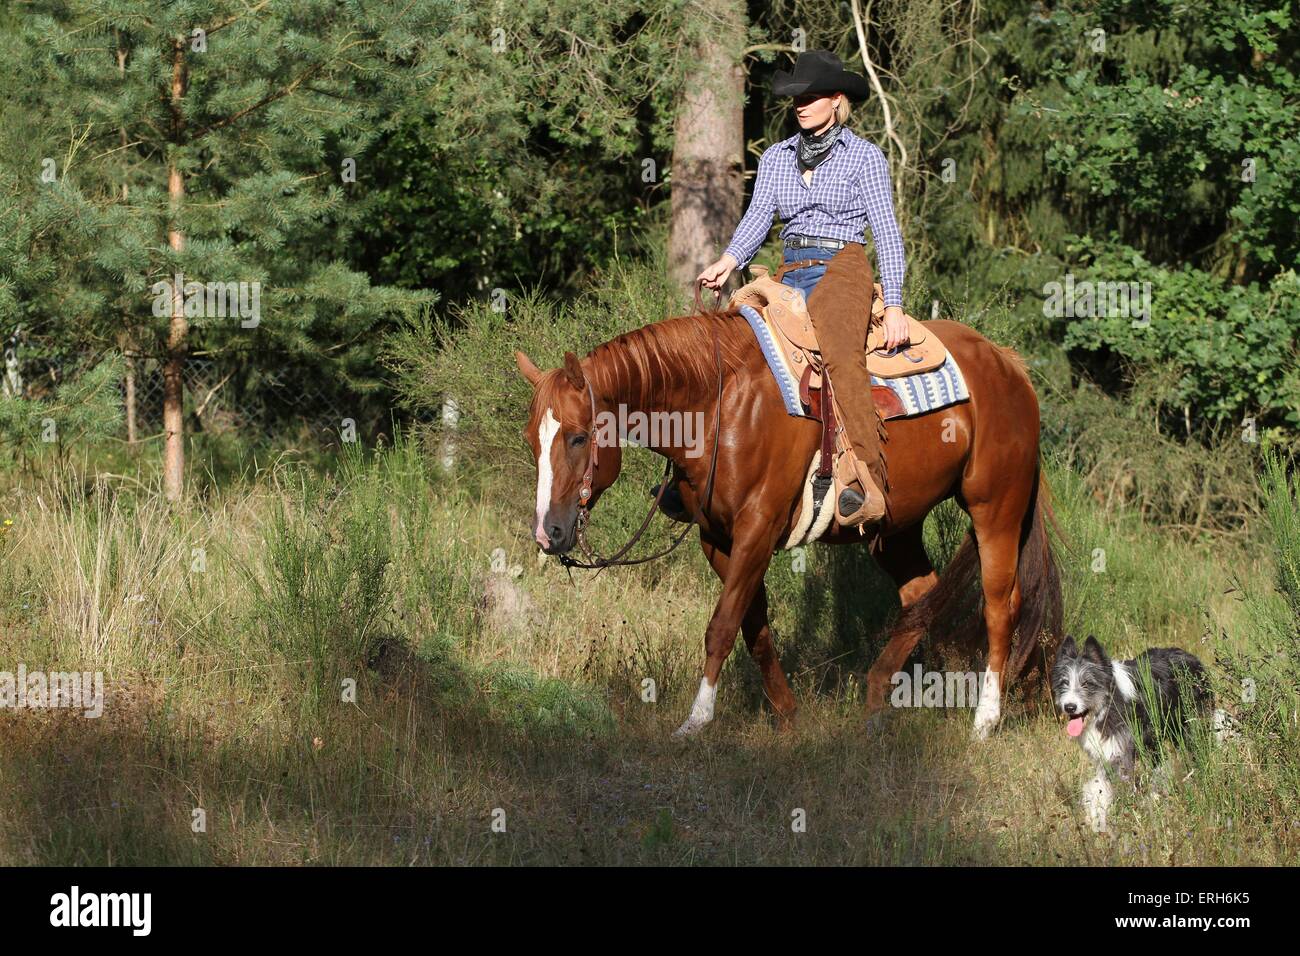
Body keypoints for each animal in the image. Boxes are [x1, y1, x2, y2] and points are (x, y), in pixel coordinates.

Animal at [514, 302, 1062, 740]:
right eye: (531, 438)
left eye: (579, 436)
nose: (549, 532)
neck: (719, 405)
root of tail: (1009, 365)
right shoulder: (718, 538)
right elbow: (752, 628)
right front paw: (787, 715)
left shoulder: (759, 527)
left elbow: (722, 626)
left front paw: (696, 721)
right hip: (896, 526)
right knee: (920, 594)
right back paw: (877, 702)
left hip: (995, 508)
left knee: (1000, 606)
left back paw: (984, 720)